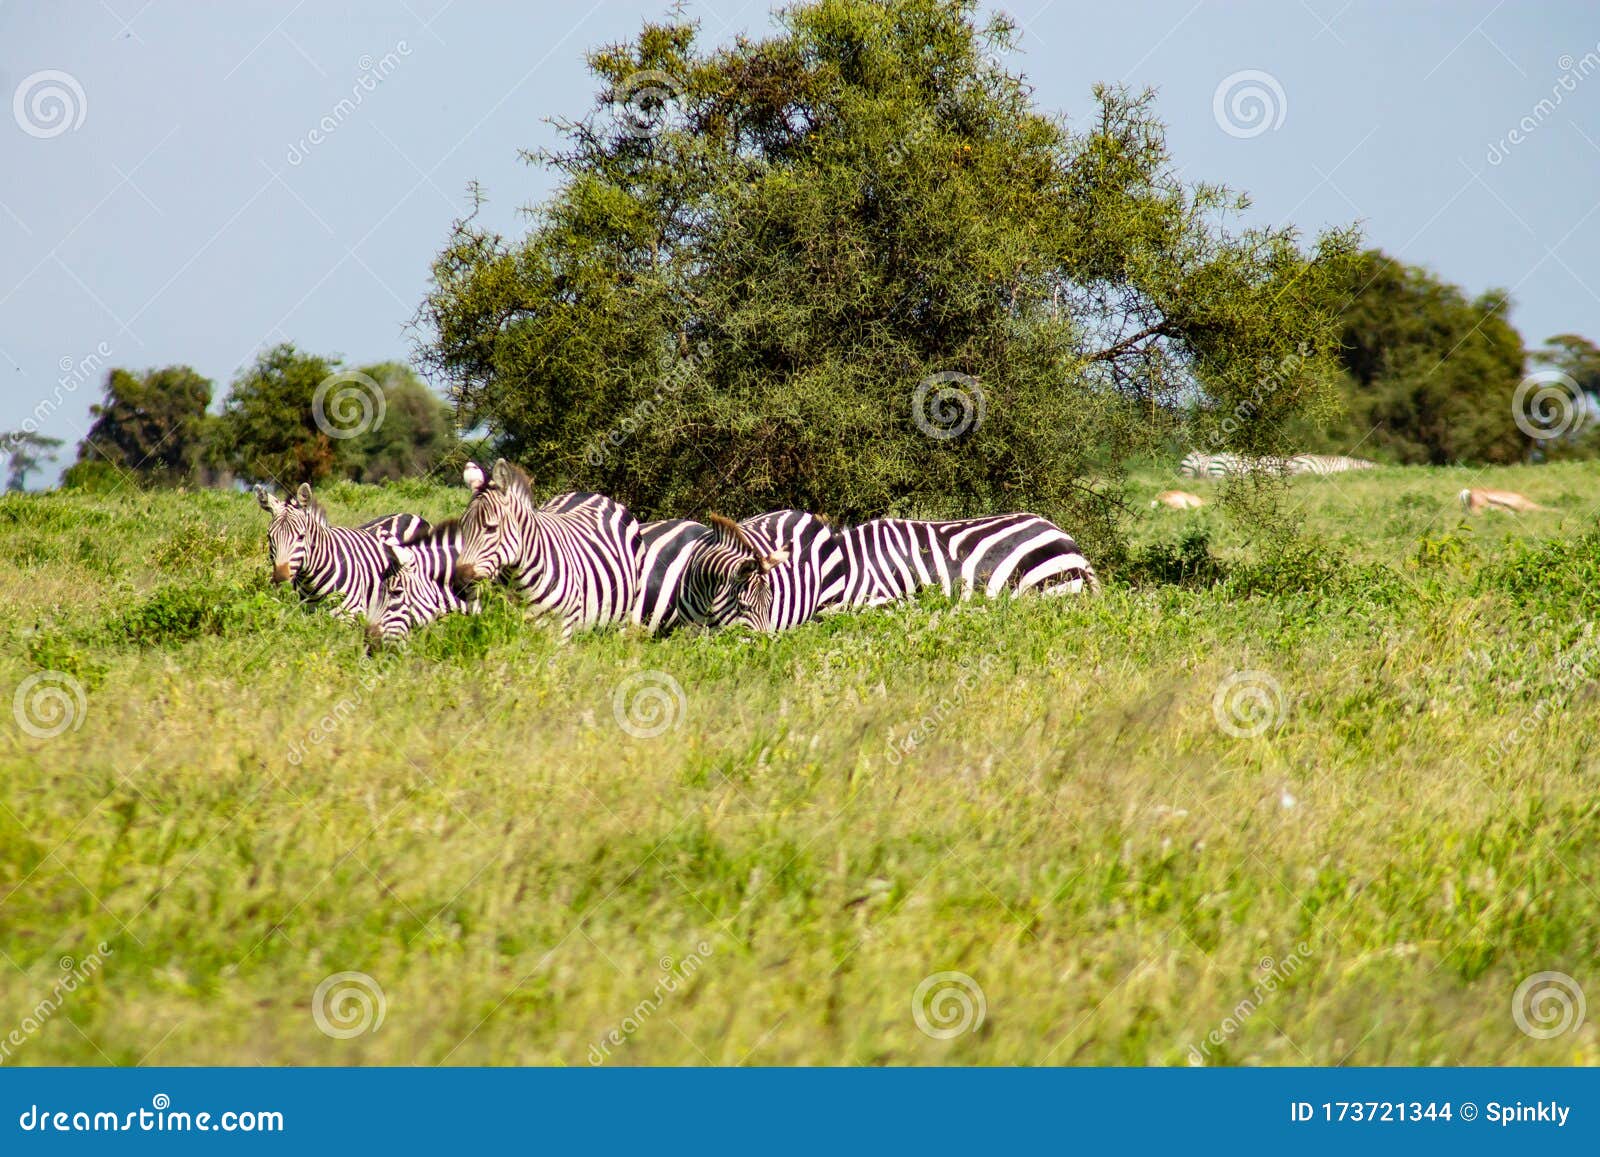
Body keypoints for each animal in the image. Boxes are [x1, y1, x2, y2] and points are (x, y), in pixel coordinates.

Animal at [256, 483, 430, 621]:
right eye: (269, 537)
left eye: (301, 536)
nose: (280, 578)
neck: (311, 581)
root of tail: (413, 515)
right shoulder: (307, 613)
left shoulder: (348, 615)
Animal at [455, 459, 641, 636]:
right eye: (462, 527)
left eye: (491, 528)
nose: (461, 582)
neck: (518, 581)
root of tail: (592, 494)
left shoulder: (563, 627)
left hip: (622, 618)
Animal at [674, 510, 843, 633]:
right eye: (743, 607)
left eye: (770, 603)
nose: (762, 641)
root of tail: (809, 516)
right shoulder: (691, 631)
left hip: (830, 608)